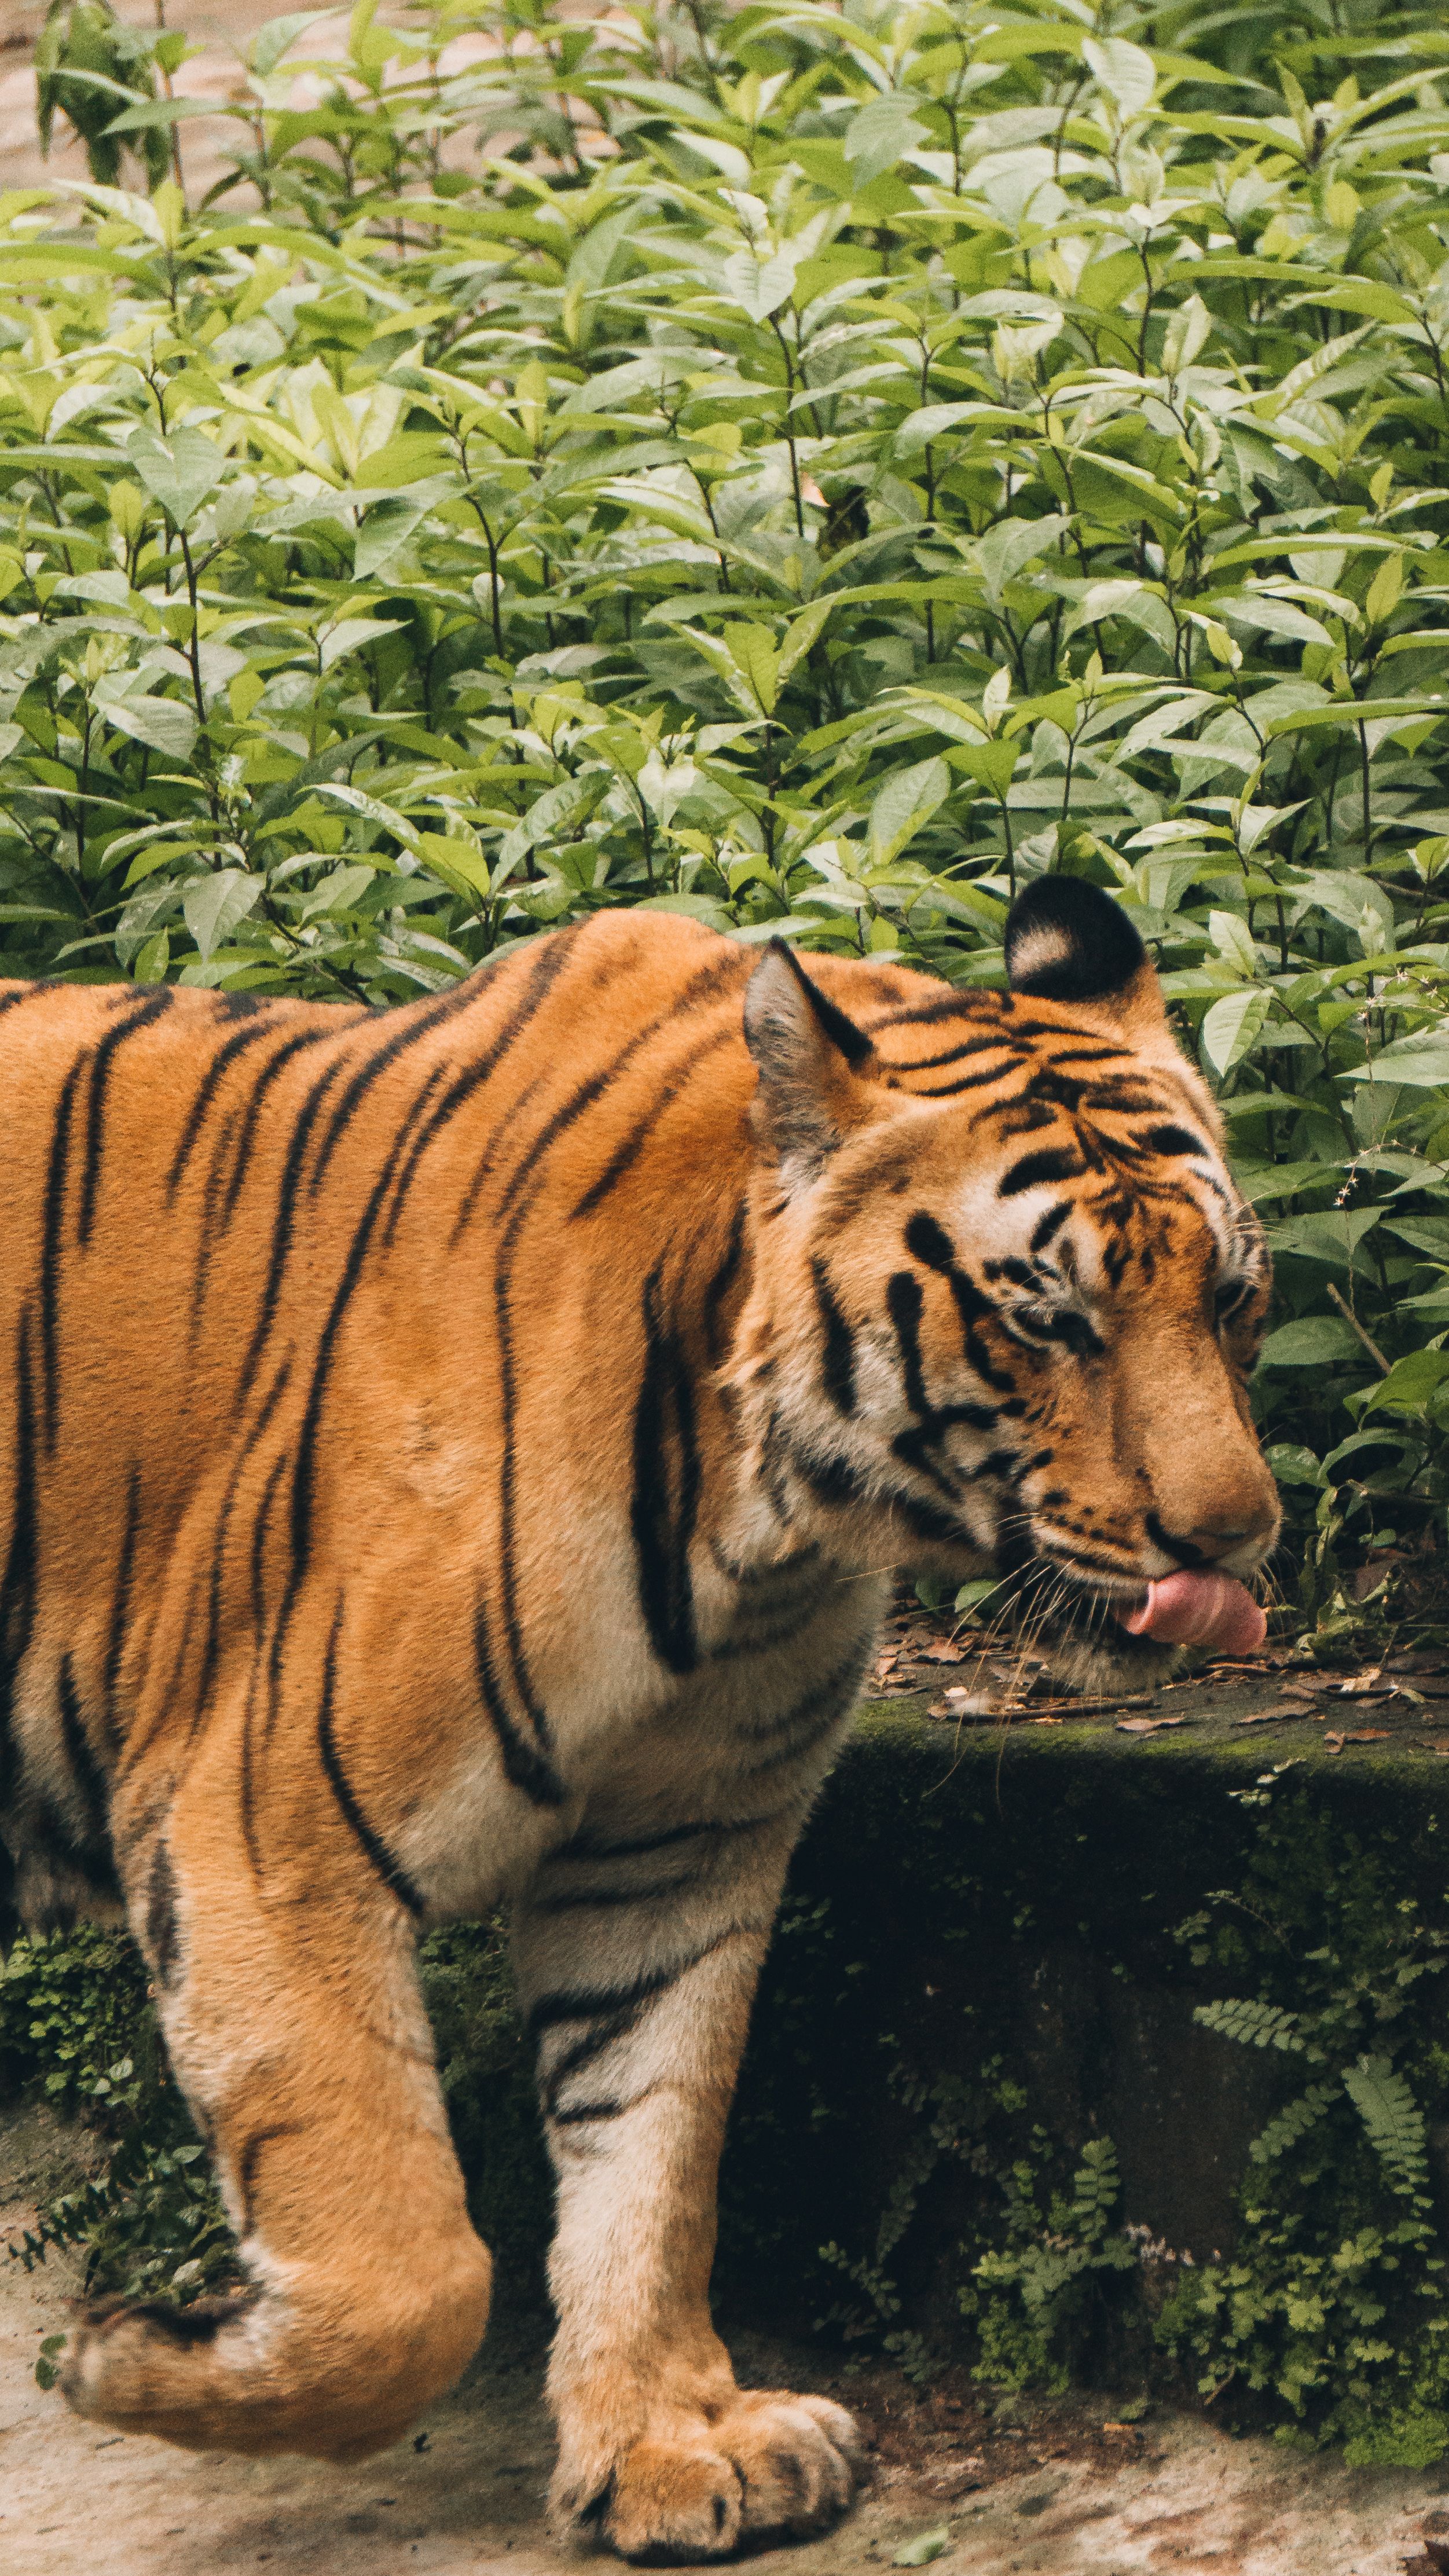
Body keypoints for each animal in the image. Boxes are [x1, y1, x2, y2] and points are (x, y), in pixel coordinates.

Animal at [0, 872, 1279, 2559]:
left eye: (1233, 1297)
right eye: (1046, 1320)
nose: (1233, 1540)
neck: (762, 1521)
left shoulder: (671, 1843)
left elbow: (650, 2146)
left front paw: (669, 2442)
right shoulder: (263, 1829)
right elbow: (407, 2272)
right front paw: (128, 2355)